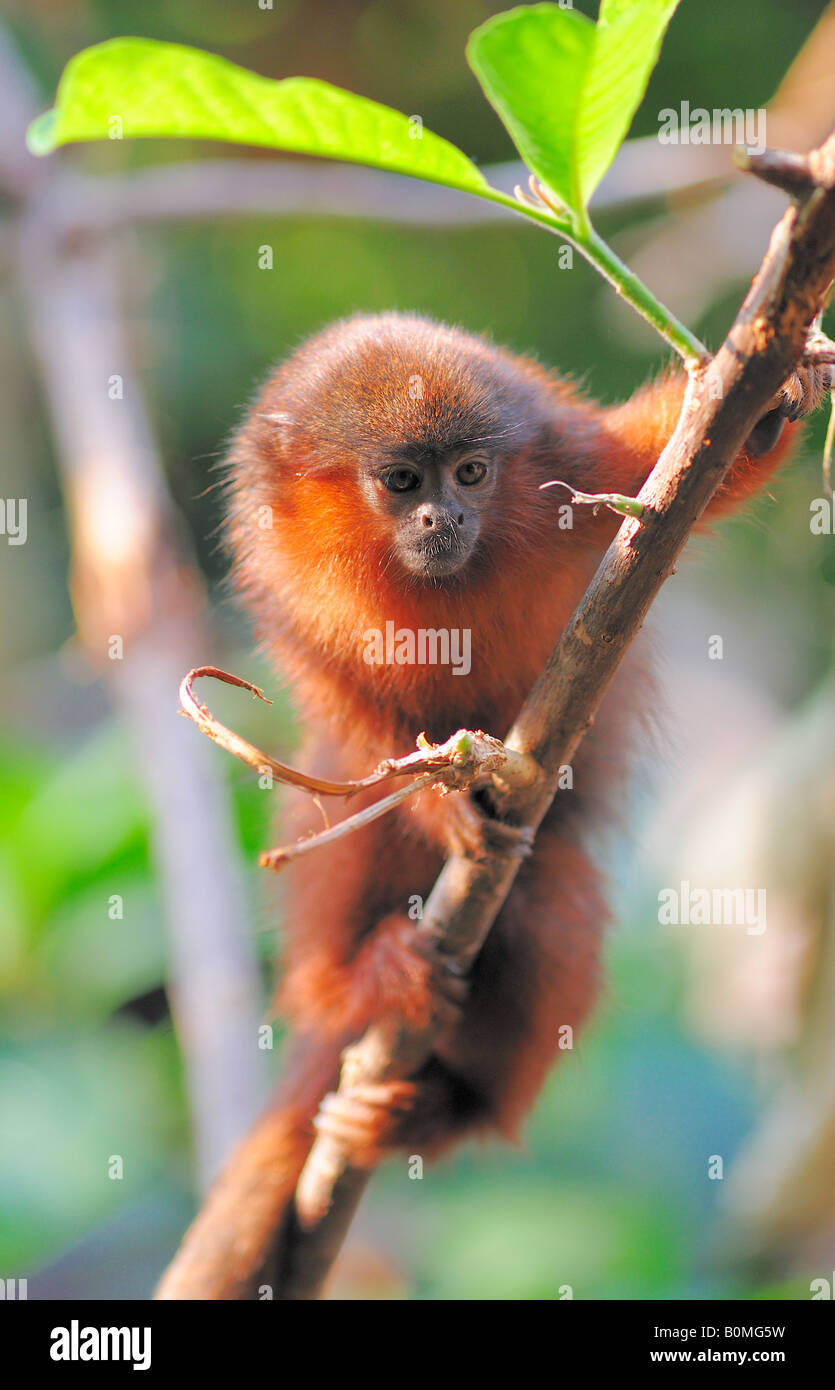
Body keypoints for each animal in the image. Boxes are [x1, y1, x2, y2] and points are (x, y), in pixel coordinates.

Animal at [156, 312, 828, 1299]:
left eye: (472, 472)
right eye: (403, 482)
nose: (447, 516)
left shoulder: (578, 465)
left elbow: (681, 478)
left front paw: (779, 384)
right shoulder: (274, 569)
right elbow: (345, 713)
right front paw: (439, 808)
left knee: (547, 903)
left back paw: (442, 1112)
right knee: (341, 835)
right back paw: (360, 980)